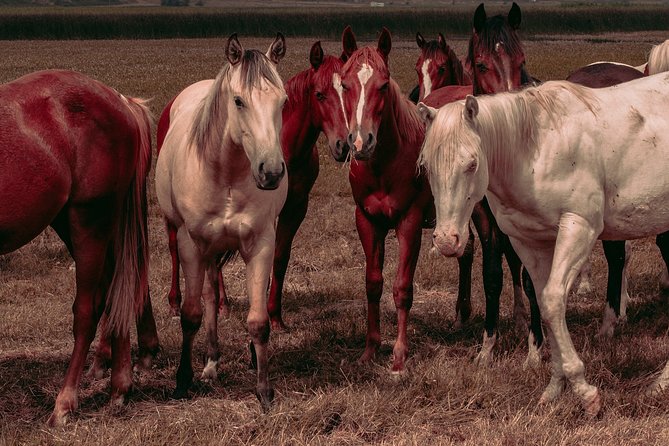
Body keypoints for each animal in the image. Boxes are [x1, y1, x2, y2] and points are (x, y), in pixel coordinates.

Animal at [0, 69, 153, 426]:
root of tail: (120, 101)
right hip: (73, 223)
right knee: (115, 291)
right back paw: (119, 387)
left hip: (89, 220)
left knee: (88, 309)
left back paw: (65, 402)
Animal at [155, 34, 288, 409]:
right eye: (239, 101)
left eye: (283, 102)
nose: (271, 172)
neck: (226, 172)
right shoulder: (192, 244)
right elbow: (191, 315)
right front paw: (182, 381)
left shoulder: (261, 244)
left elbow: (258, 322)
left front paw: (264, 391)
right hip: (191, 242)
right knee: (209, 298)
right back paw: (209, 363)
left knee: (214, 295)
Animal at [158, 32, 354, 330]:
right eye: (319, 94)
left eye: (350, 91)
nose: (344, 146)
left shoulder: (295, 207)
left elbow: (280, 257)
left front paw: (275, 316)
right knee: (173, 249)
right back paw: (177, 303)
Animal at [418, 73, 669, 415]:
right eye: (427, 166)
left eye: (471, 164)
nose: (446, 240)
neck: (535, 150)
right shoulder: (530, 242)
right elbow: (542, 302)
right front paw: (555, 387)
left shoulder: (579, 227)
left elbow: (551, 301)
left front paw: (586, 392)